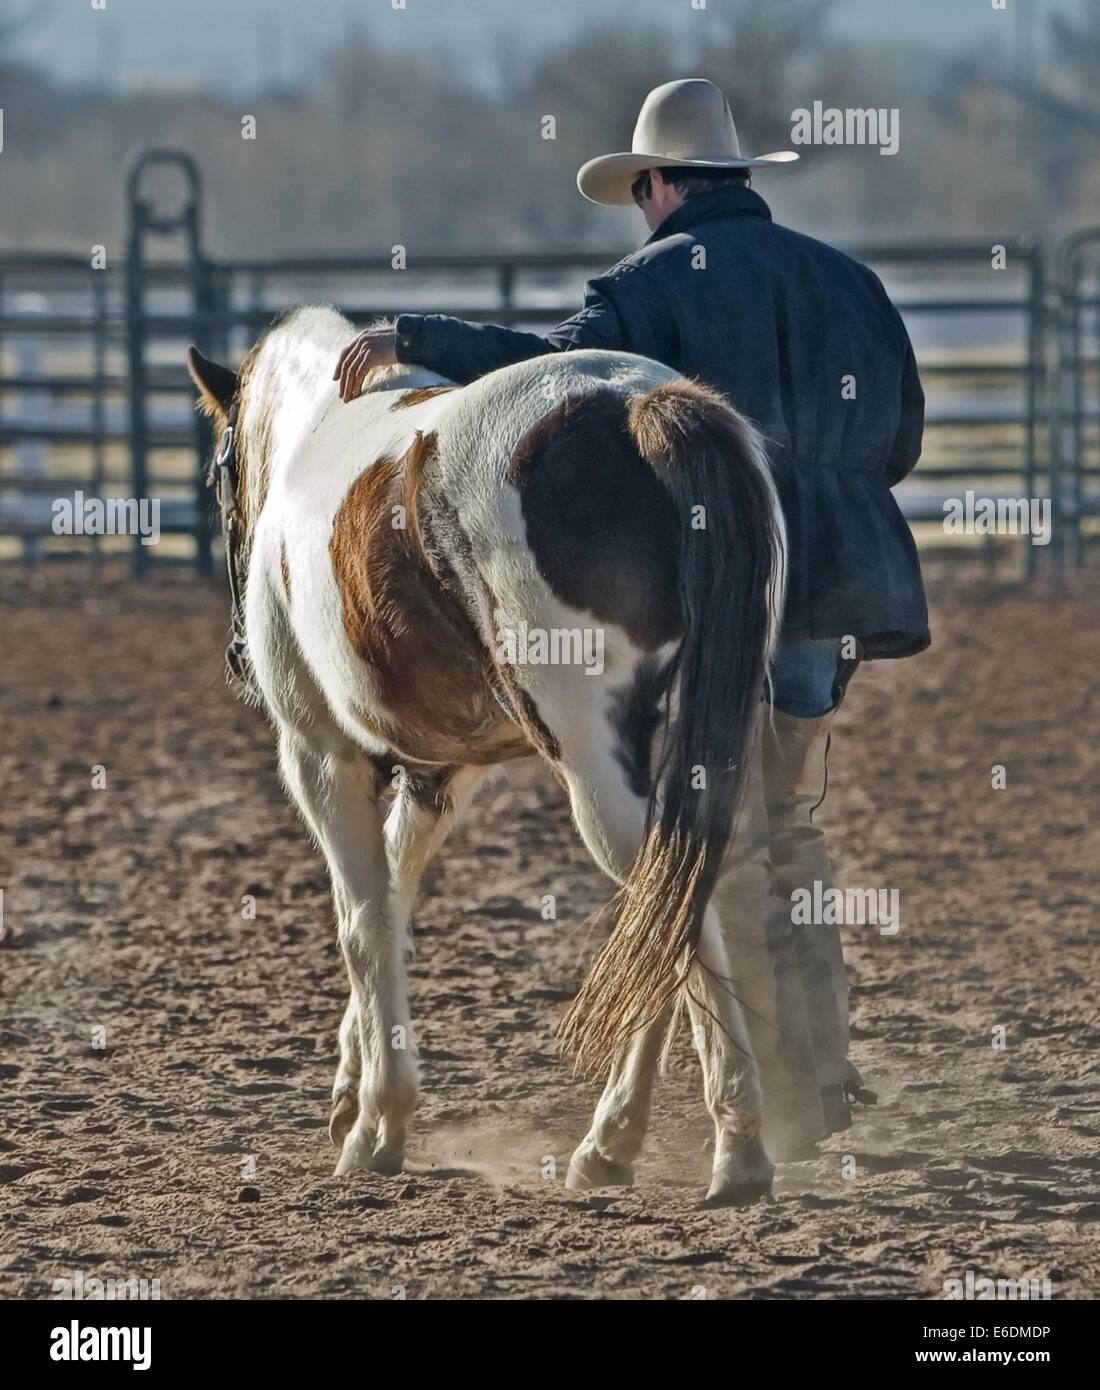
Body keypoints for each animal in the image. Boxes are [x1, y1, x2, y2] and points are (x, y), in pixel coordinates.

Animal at [187, 305, 786, 1206]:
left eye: (219, 477)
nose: (233, 656)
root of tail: (636, 406)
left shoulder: (321, 760)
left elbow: (362, 924)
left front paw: (377, 1126)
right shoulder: (441, 775)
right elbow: (393, 903)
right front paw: (351, 1086)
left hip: (592, 767)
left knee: (668, 901)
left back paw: (729, 1148)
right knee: (672, 897)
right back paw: (614, 1145)